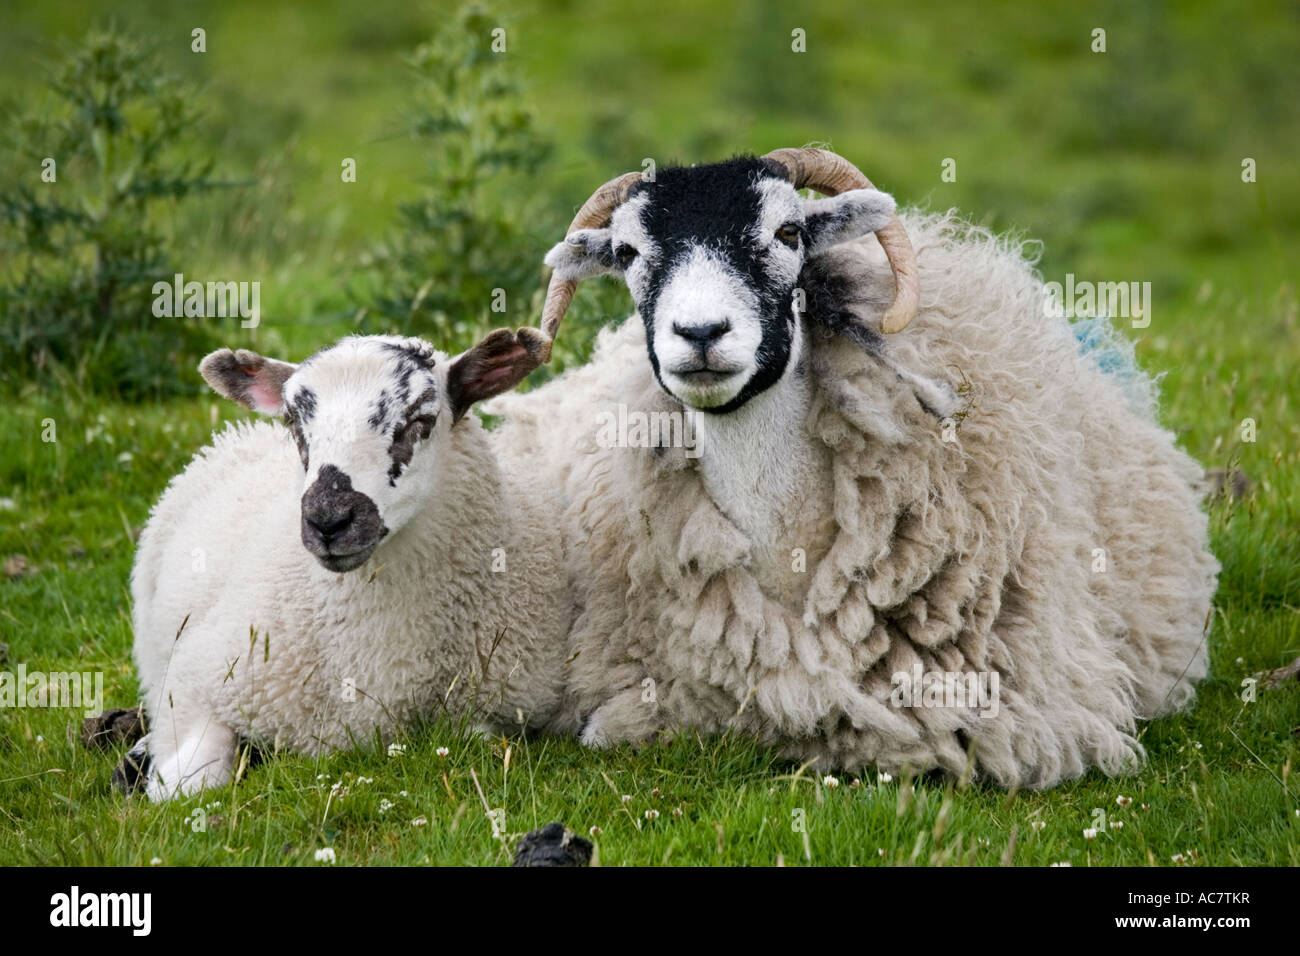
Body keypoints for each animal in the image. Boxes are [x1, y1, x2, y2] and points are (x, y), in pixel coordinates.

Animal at [125, 327, 567, 801]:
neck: (380, 657)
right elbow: (185, 785)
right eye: (294, 423)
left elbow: (475, 737)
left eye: (421, 419)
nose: (328, 520)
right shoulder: (196, 677)